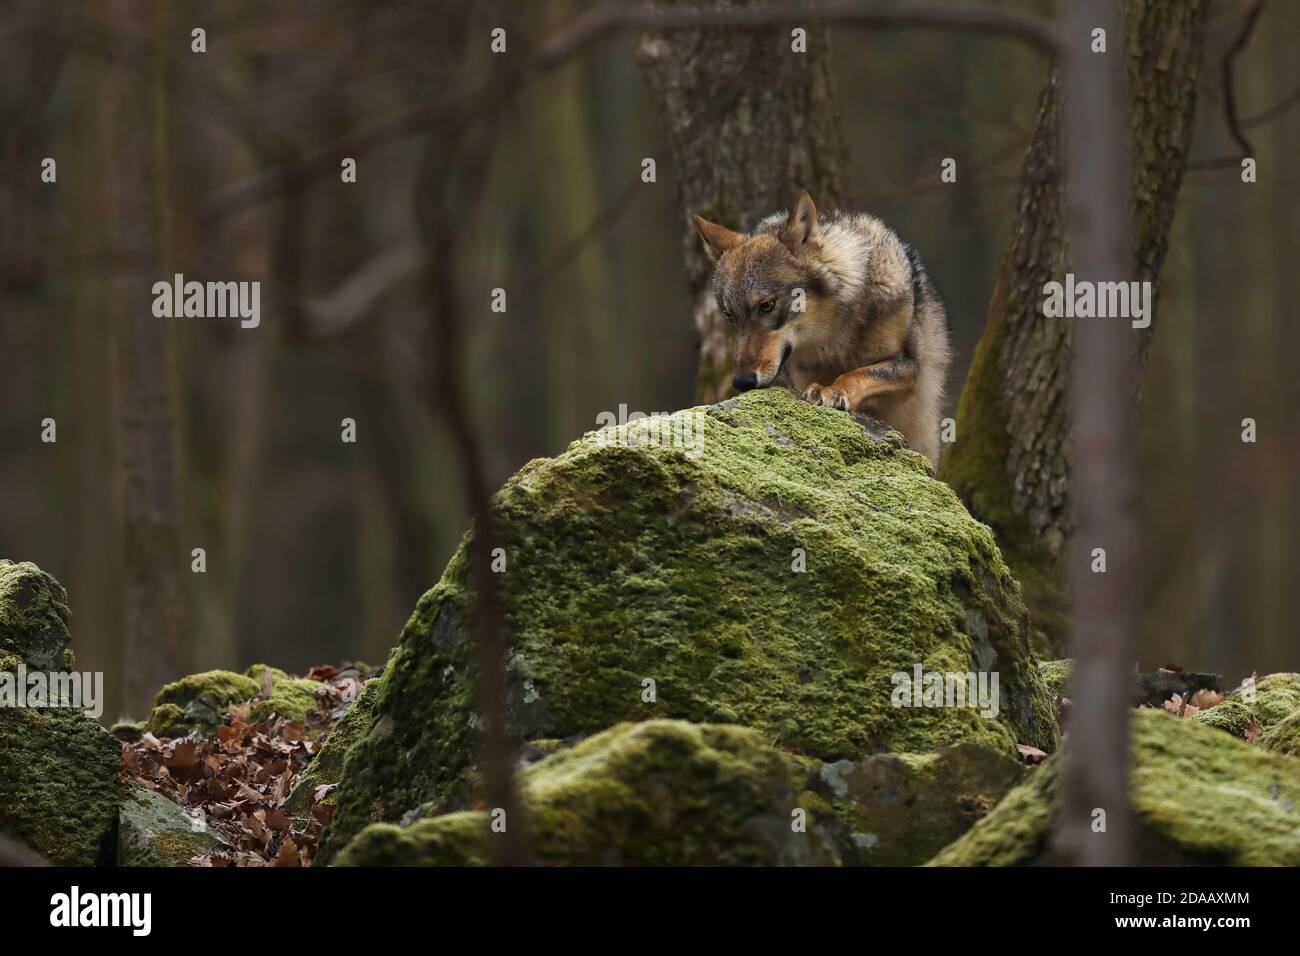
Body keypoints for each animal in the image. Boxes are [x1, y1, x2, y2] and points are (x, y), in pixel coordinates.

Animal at [693, 191, 952, 466]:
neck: (834, 337)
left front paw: (834, 390)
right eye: (729, 315)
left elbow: (859, 373)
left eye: (767, 306)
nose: (742, 381)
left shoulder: (910, 365)